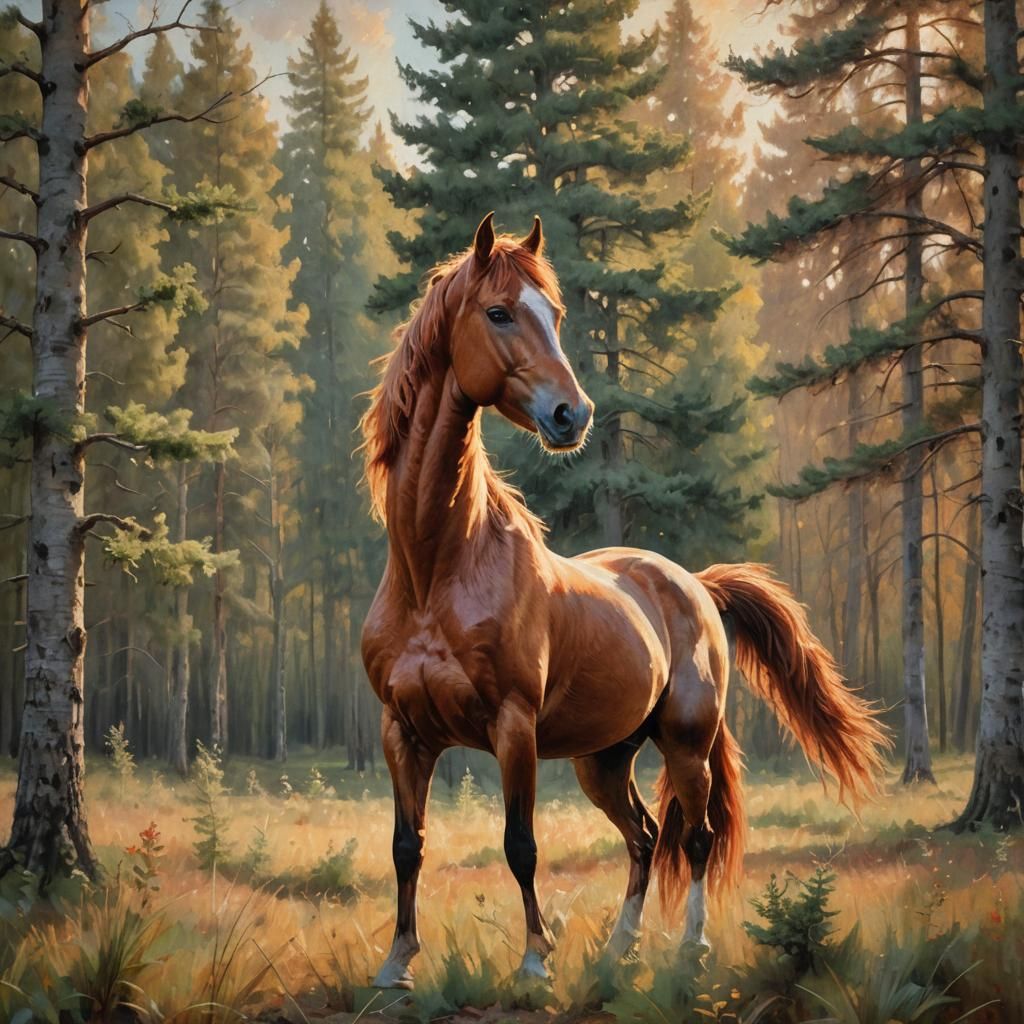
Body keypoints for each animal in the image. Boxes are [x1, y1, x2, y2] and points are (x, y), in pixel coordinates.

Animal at [358, 212, 889, 988]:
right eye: (498, 312)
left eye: (555, 314)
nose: (571, 414)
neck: (437, 570)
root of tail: (696, 585)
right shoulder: (403, 731)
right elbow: (407, 846)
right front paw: (396, 965)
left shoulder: (513, 727)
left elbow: (521, 845)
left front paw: (535, 961)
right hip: (604, 759)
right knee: (643, 837)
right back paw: (619, 951)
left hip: (685, 744)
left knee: (693, 837)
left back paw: (691, 949)